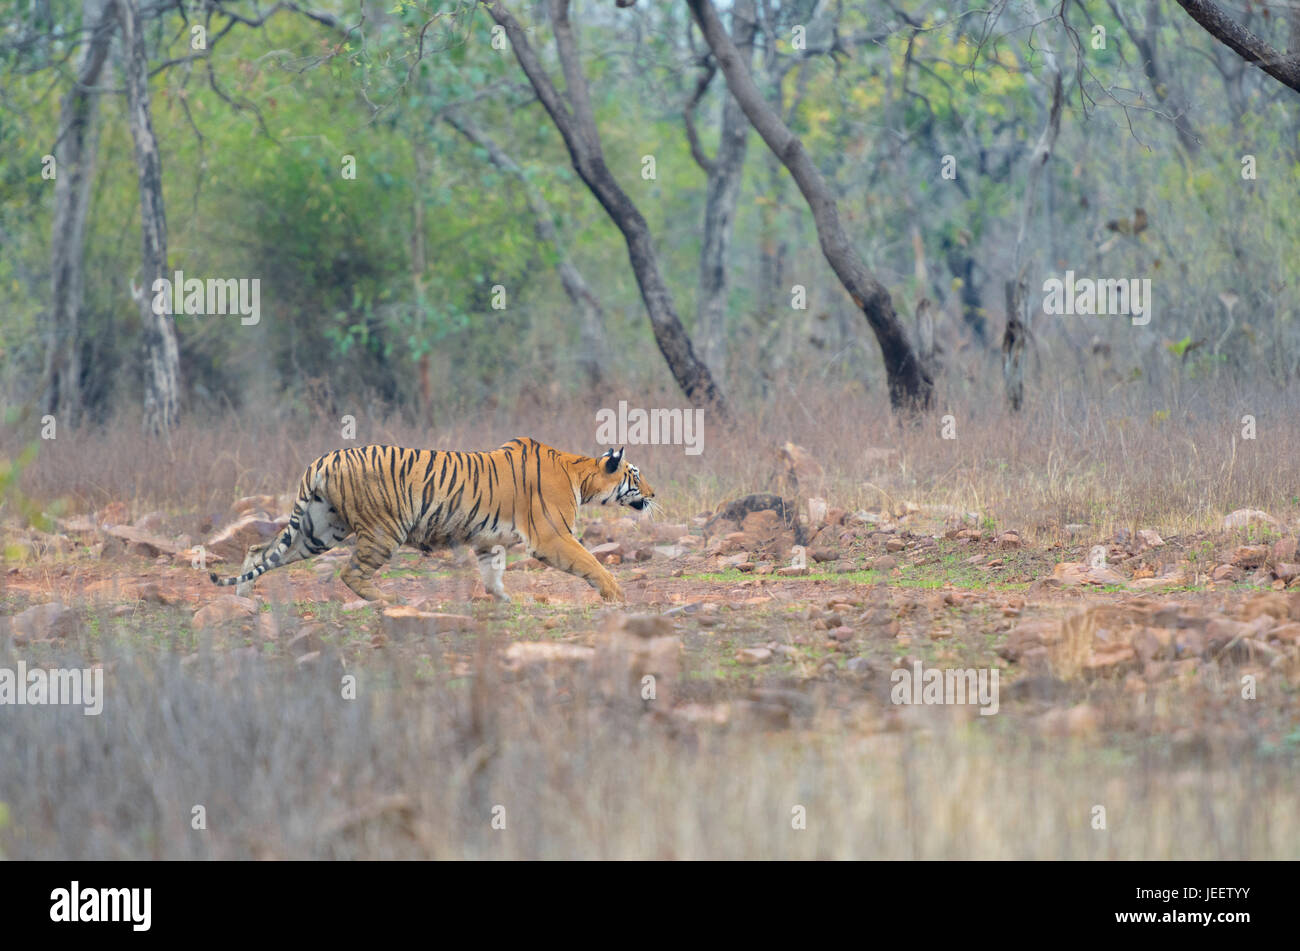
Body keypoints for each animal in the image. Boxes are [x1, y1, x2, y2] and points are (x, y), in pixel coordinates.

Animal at [208, 439, 655, 603]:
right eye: (635, 475)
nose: (654, 495)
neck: (580, 474)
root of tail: (323, 459)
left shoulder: (489, 540)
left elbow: (493, 574)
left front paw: (504, 601)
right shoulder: (551, 536)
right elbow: (590, 562)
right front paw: (616, 594)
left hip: (319, 529)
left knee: (259, 550)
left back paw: (243, 599)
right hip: (382, 531)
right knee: (351, 574)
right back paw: (388, 602)